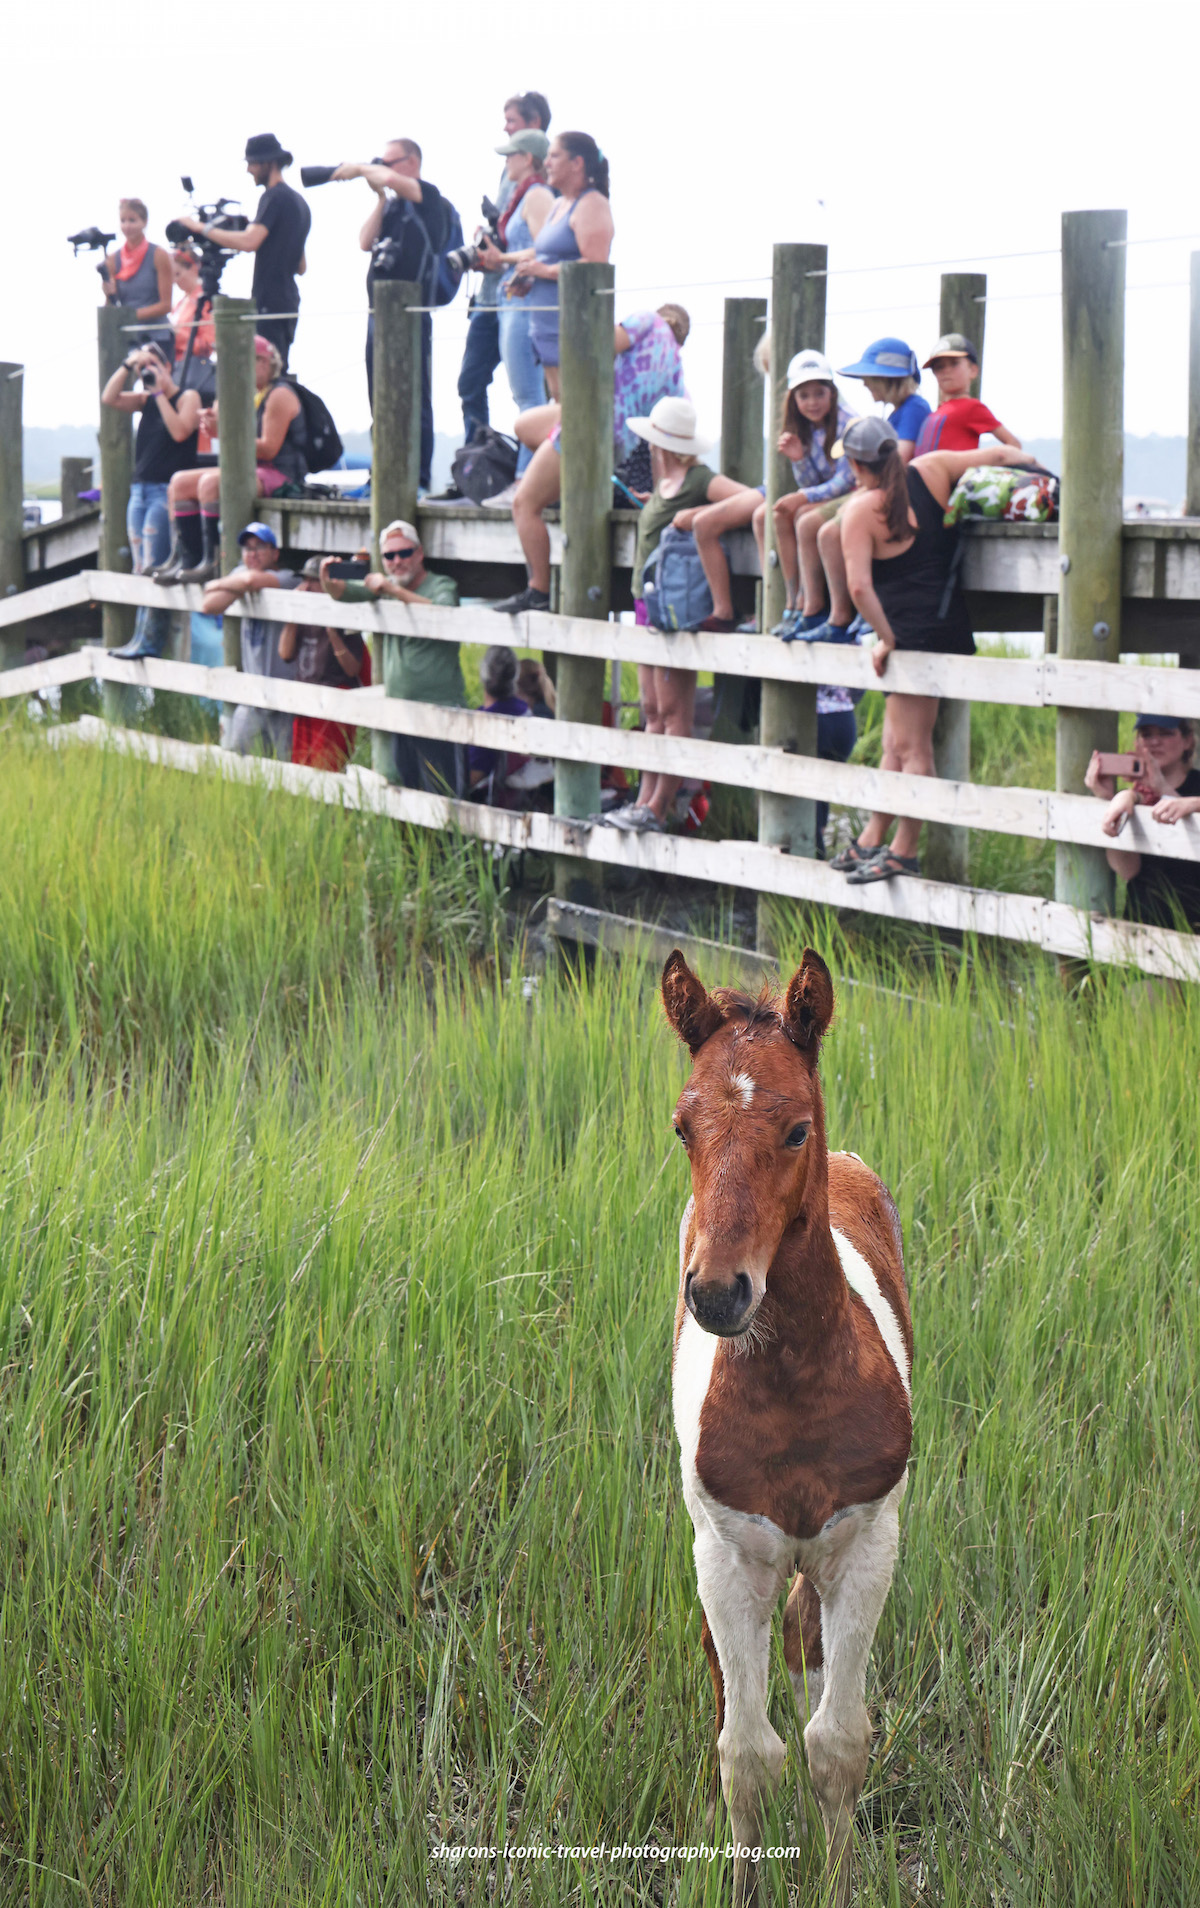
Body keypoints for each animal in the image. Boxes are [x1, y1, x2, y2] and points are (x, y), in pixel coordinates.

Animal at [661, 946, 912, 1908]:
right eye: (683, 1129)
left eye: (795, 1128)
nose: (717, 1294)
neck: (798, 1386)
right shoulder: (728, 1555)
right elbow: (747, 1755)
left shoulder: (867, 1544)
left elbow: (836, 1745)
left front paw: (837, 1878)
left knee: (806, 1650)